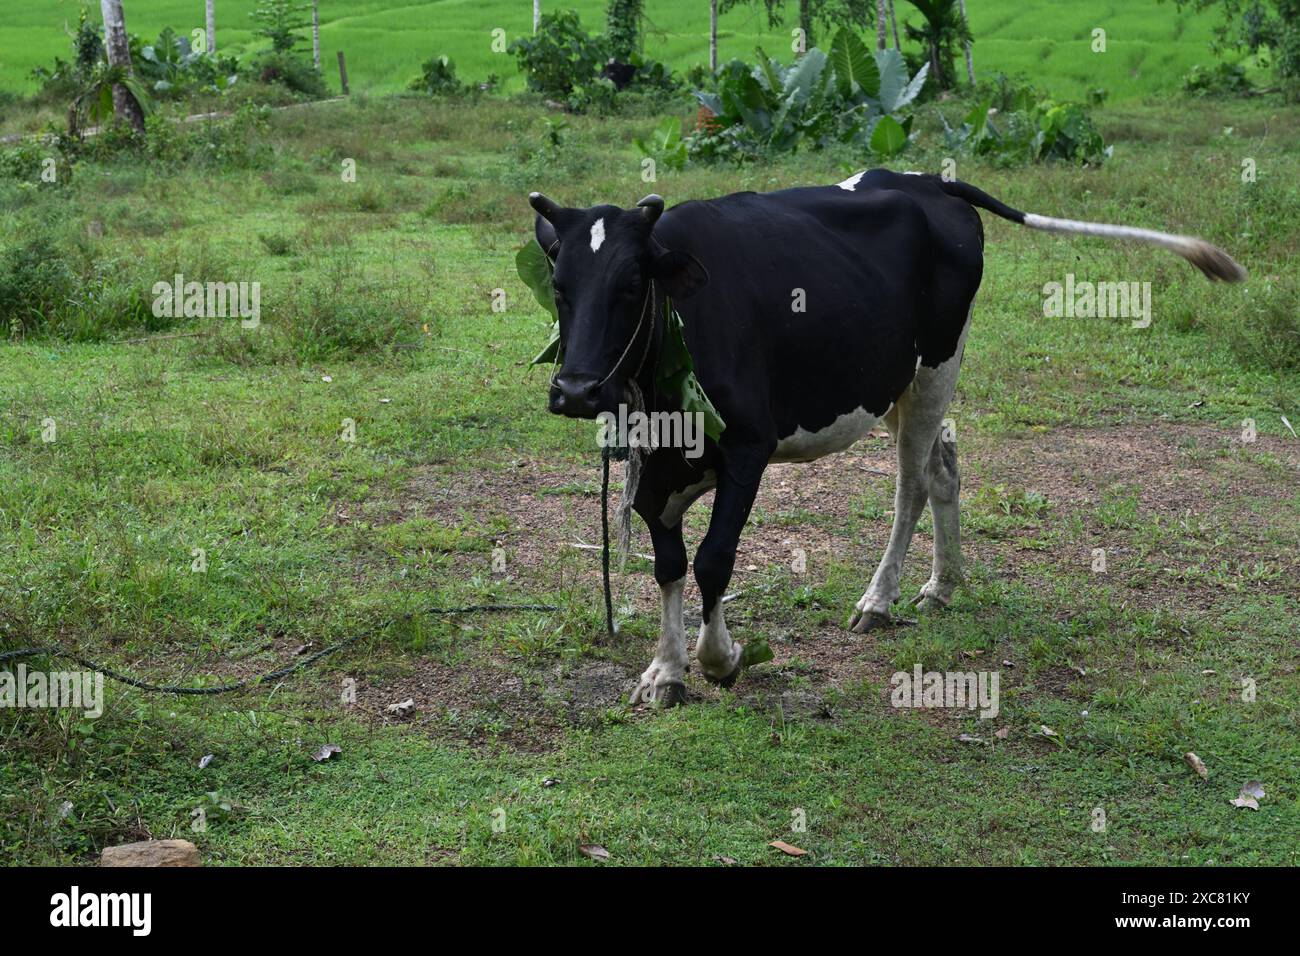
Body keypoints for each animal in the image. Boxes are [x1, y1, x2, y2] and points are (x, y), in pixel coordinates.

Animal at [527, 170, 1245, 707]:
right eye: (560, 287)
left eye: (631, 285)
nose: (577, 391)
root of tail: (922, 180)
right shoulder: (656, 462)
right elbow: (670, 563)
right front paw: (666, 672)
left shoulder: (749, 447)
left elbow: (712, 559)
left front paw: (721, 659)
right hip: (891, 379)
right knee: (946, 466)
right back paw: (943, 584)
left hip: (937, 367)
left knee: (913, 484)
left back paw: (879, 598)